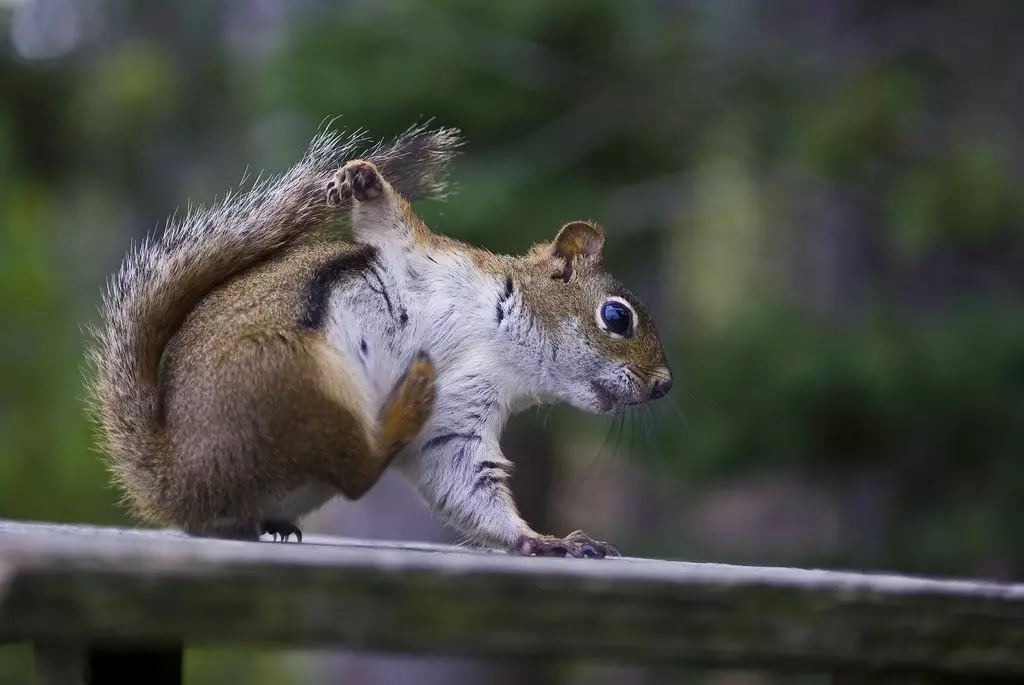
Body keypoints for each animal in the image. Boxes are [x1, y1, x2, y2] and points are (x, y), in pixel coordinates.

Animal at [90, 124, 671, 557]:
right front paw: (362, 179)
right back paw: (407, 397)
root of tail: (176, 480)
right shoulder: (423, 255)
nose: (664, 385)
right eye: (616, 317)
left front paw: (544, 541)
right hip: (287, 369)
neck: (501, 342)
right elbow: (387, 221)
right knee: (355, 471)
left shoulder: (462, 415)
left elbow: (461, 477)